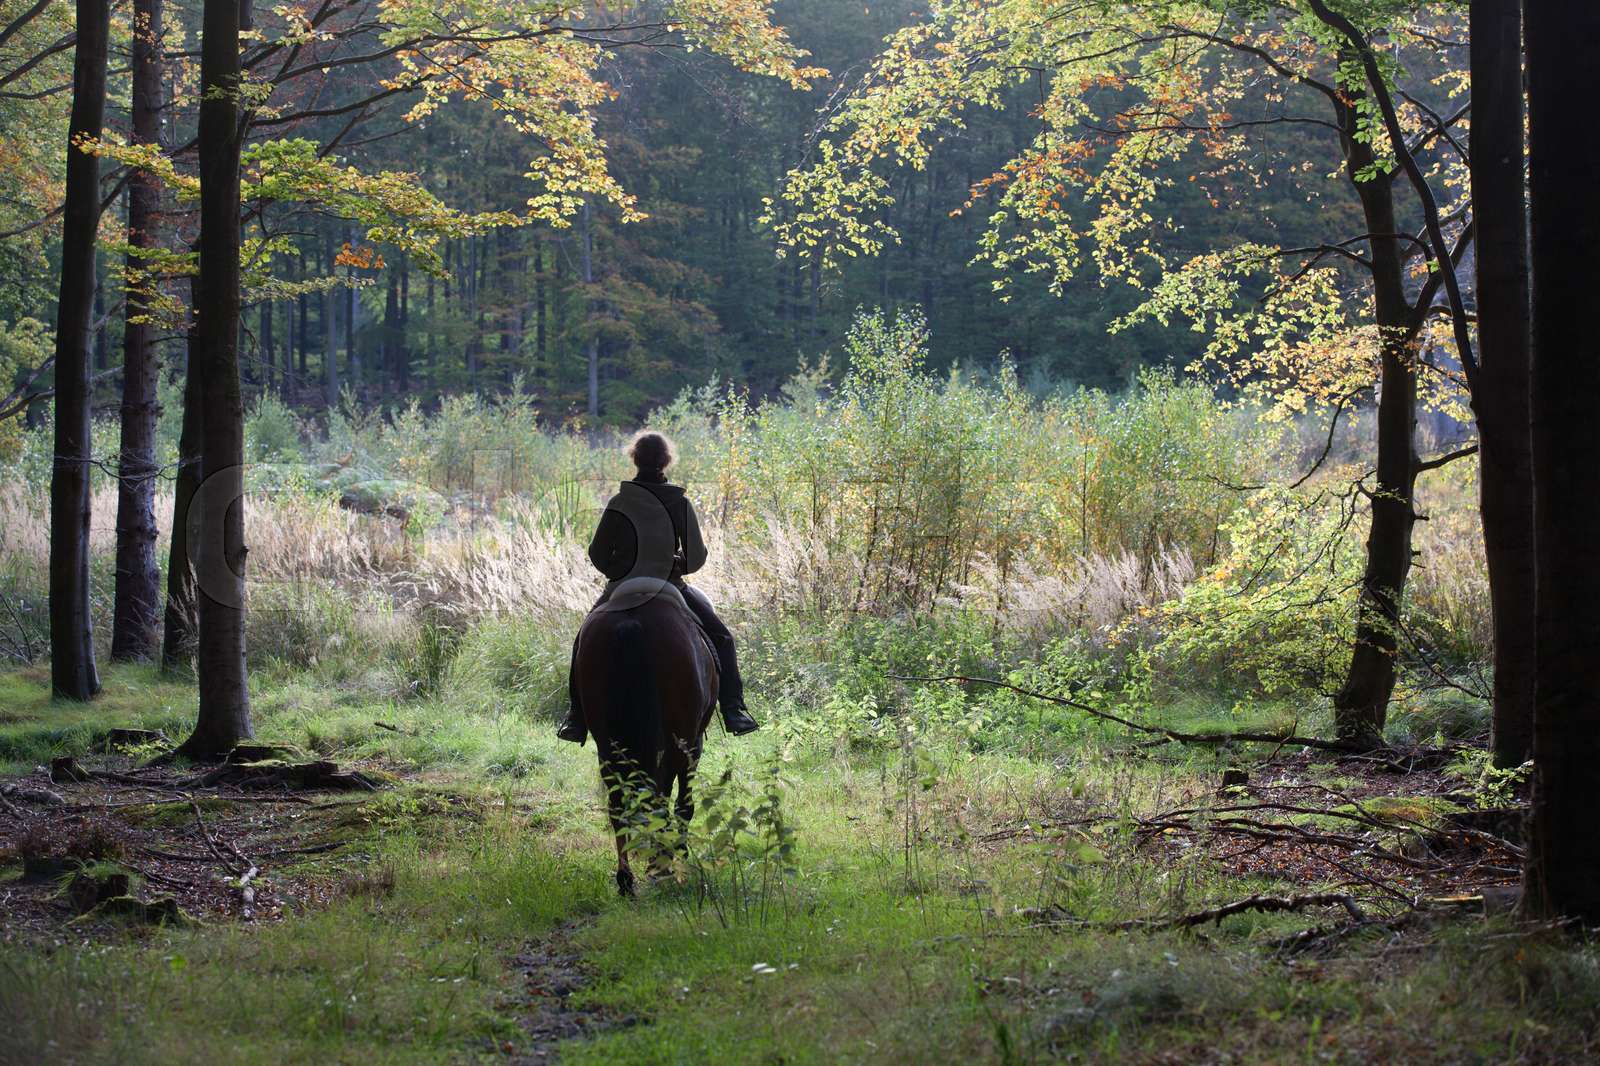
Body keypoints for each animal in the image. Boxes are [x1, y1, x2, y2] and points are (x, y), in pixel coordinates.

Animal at [572, 582, 719, 895]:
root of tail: (632, 621)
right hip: (681, 739)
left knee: (619, 804)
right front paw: (674, 858)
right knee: (660, 800)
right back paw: (660, 869)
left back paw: (626, 880)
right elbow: (682, 803)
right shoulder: (690, 745)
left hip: (607, 742)